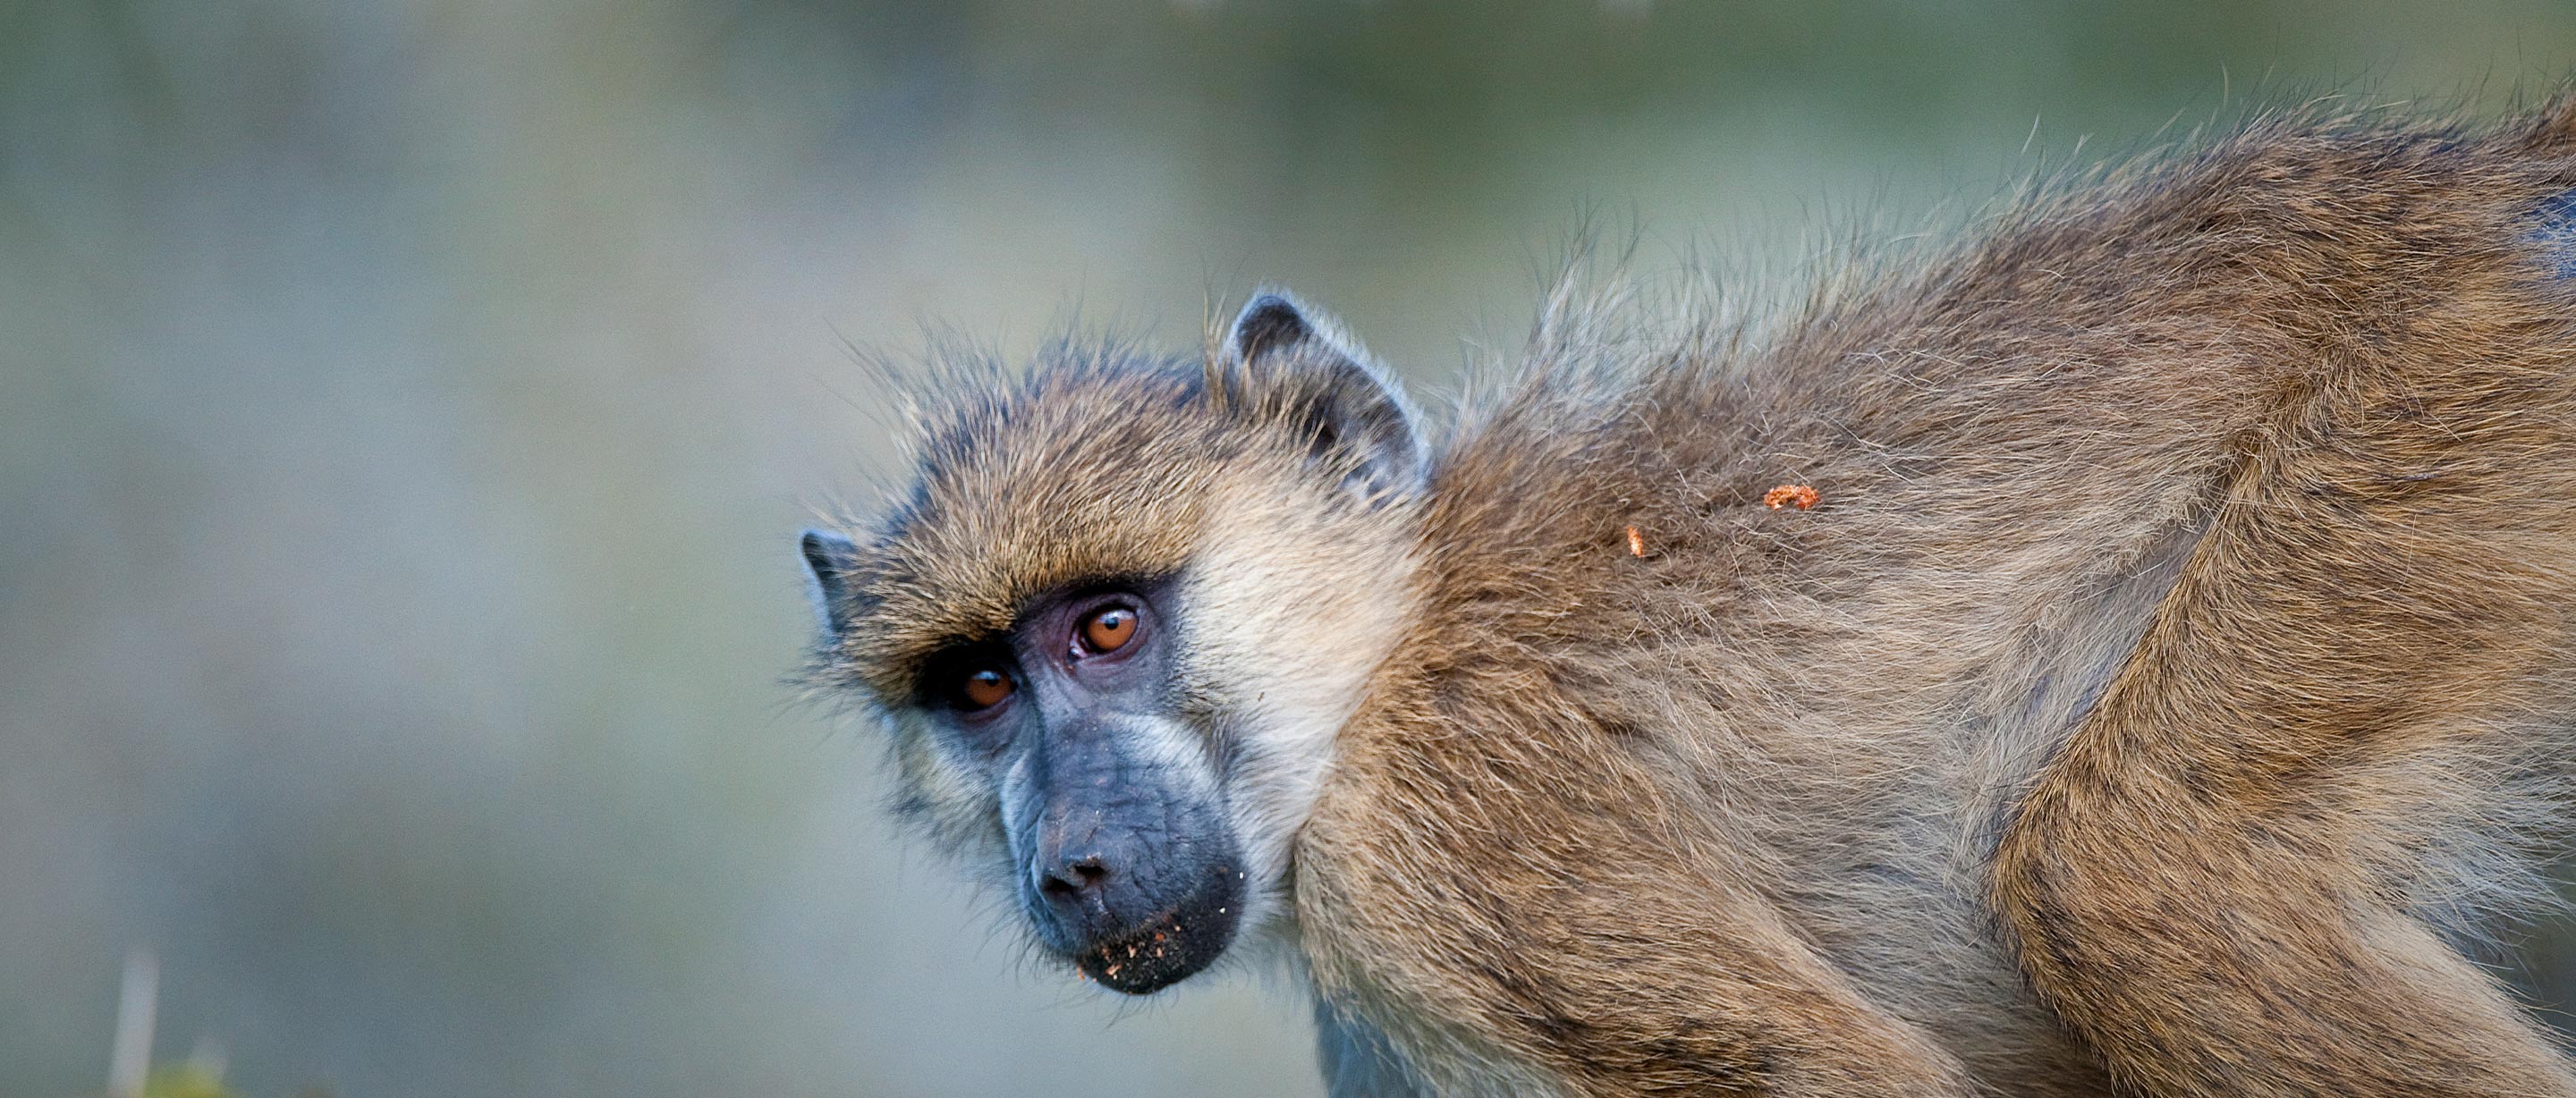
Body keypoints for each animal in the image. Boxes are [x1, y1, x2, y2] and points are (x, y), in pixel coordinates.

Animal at [797, 98, 2576, 1097]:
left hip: (2452, 409)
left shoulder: (1457, 865)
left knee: (2142, 872)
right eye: (978, 691)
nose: (1074, 863)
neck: (1385, 668)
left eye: (1108, 627)